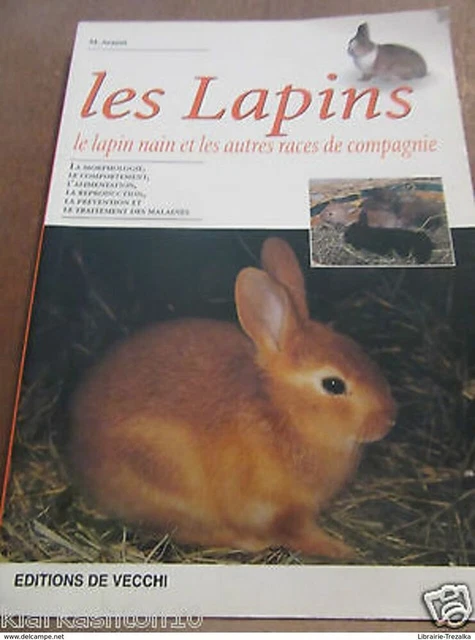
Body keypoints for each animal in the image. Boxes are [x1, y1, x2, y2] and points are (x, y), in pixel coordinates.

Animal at [70, 237, 396, 559]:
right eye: (333, 384)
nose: (389, 420)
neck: (282, 412)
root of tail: (79, 460)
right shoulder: (277, 511)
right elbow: (299, 535)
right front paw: (344, 551)